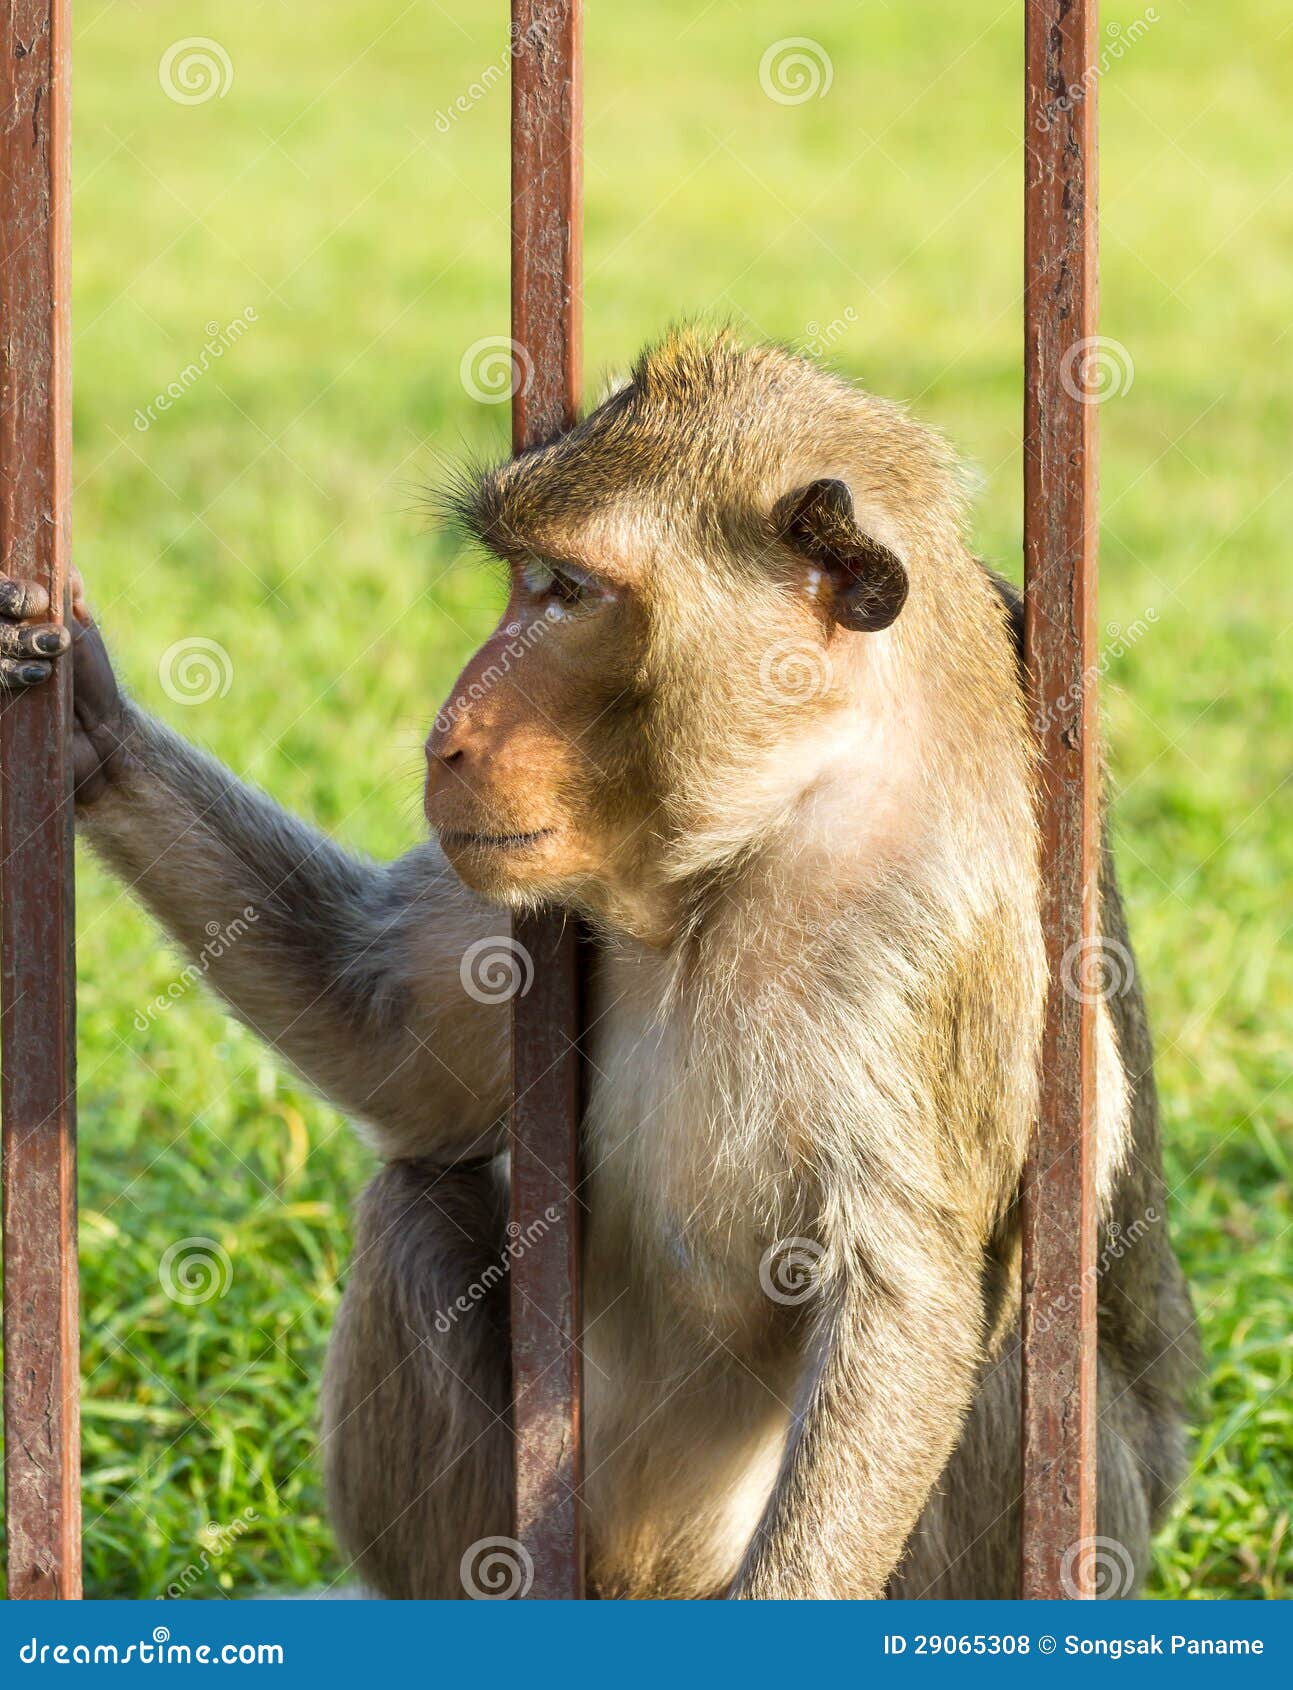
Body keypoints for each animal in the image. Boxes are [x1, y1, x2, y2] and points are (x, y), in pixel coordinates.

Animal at [1, 330, 1196, 1599]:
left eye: (569, 593)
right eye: (525, 577)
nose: (445, 736)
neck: (763, 840)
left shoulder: (929, 934)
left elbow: (908, 1303)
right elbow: (386, 1035)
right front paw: (93, 722)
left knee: (1009, 1349)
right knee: (418, 1200)